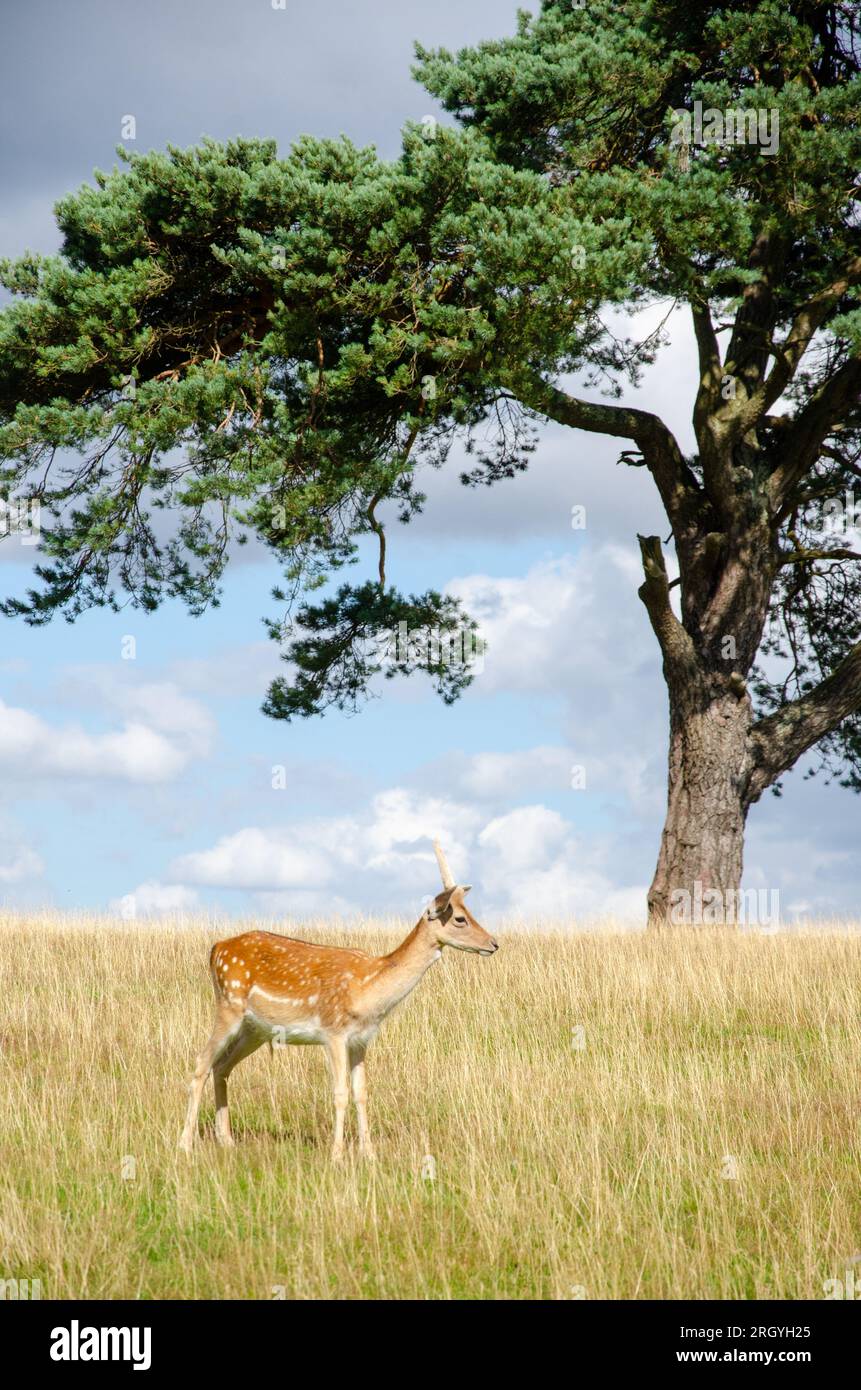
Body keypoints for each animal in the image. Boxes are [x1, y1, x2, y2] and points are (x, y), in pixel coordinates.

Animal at [178, 842, 498, 1160]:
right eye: (459, 918)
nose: (493, 943)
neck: (368, 992)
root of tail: (216, 948)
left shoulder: (362, 1039)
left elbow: (361, 1093)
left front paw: (369, 1153)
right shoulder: (333, 1032)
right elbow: (340, 1093)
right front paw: (336, 1155)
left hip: (255, 1029)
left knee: (222, 1067)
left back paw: (226, 1140)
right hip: (228, 1004)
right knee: (202, 1062)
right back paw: (185, 1143)